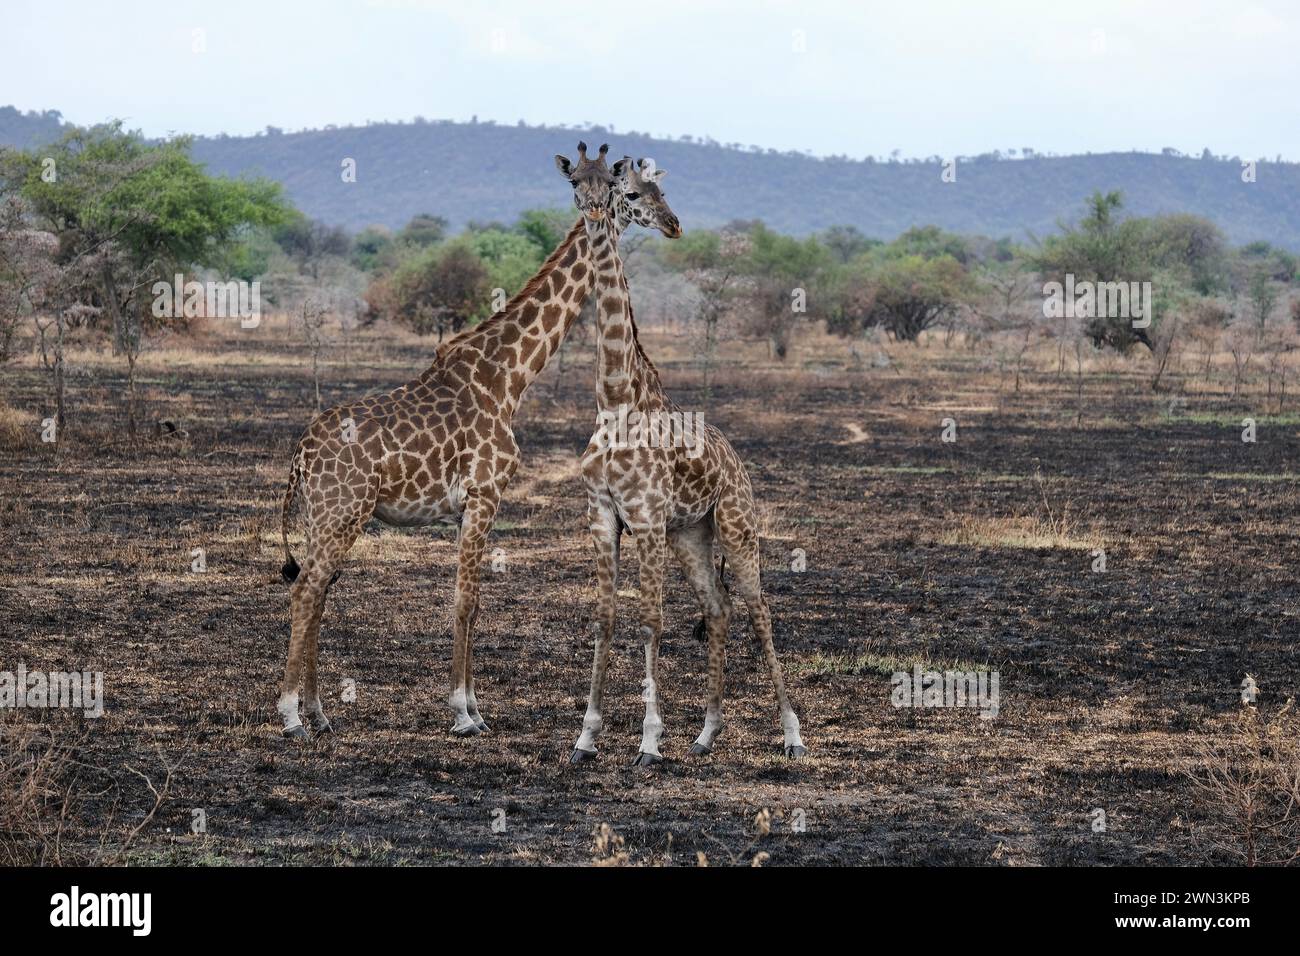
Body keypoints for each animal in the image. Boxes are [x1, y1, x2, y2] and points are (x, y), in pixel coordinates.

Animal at [275, 142, 674, 740]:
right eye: (619, 188)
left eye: (647, 188)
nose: (671, 223)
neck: (509, 374)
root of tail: (300, 455)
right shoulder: (486, 493)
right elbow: (467, 600)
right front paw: (464, 712)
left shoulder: (467, 505)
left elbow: (472, 599)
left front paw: (474, 707)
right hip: (343, 511)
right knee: (306, 590)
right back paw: (291, 715)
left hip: (327, 516)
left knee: (318, 591)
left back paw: (320, 713)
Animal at [564, 152, 807, 765]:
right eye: (579, 184)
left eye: (645, 189)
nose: (673, 224)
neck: (616, 401)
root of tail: (737, 460)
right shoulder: (603, 515)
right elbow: (604, 618)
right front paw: (586, 738)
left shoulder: (646, 516)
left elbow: (651, 617)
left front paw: (650, 741)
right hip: (691, 535)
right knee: (718, 607)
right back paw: (705, 733)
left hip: (737, 523)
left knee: (759, 609)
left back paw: (792, 735)